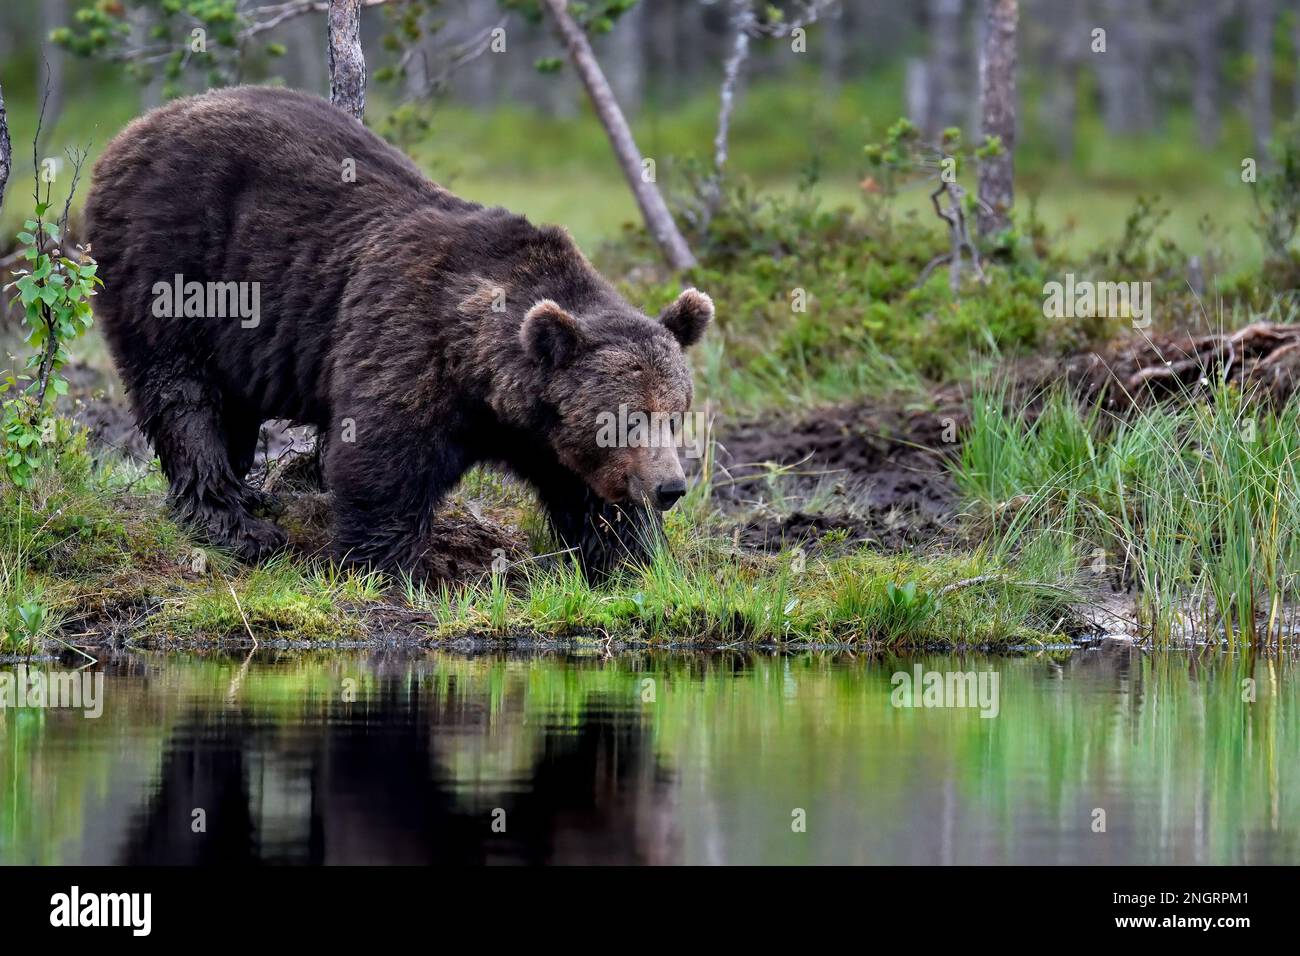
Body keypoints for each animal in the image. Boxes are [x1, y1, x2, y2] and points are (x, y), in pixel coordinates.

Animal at [84, 86, 713, 578]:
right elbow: (383, 462)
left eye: (674, 414)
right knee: (183, 390)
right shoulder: (410, 341)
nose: (671, 487)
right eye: (624, 417)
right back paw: (235, 522)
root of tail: (137, 126)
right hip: (174, 261)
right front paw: (382, 567)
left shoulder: (544, 428)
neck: (482, 377)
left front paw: (630, 557)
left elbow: (590, 494)